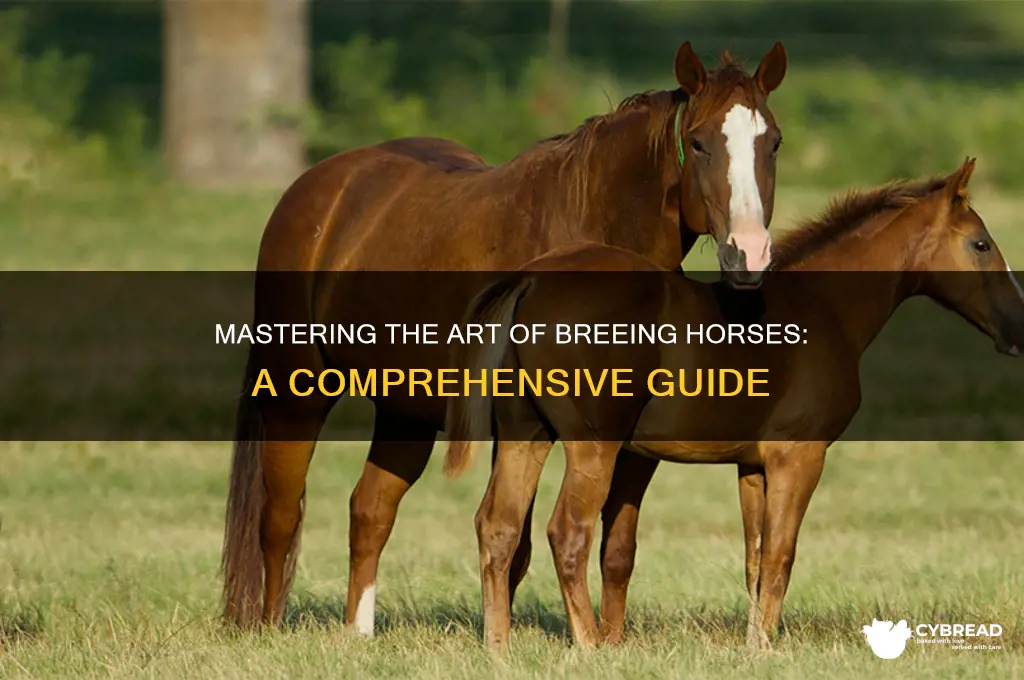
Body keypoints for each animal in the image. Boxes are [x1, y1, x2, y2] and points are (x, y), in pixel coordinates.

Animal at [221, 41, 791, 632]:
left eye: (773, 142)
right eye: (699, 142)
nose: (749, 253)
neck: (584, 229)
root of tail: (319, 187)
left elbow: (593, 547)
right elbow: (513, 538)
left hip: (405, 412)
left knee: (370, 510)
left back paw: (358, 634)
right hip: (297, 393)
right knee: (280, 517)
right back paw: (268, 628)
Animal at [444, 157, 1024, 649]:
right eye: (980, 244)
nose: (1016, 328)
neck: (821, 309)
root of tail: (533, 279)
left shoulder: (752, 466)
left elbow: (755, 559)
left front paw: (754, 645)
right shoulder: (800, 456)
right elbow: (782, 553)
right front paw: (765, 648)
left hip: (525, 435)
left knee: (497, 526)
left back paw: (499, 650)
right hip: (593, 446)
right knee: (567, 532)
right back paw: (588, 647)